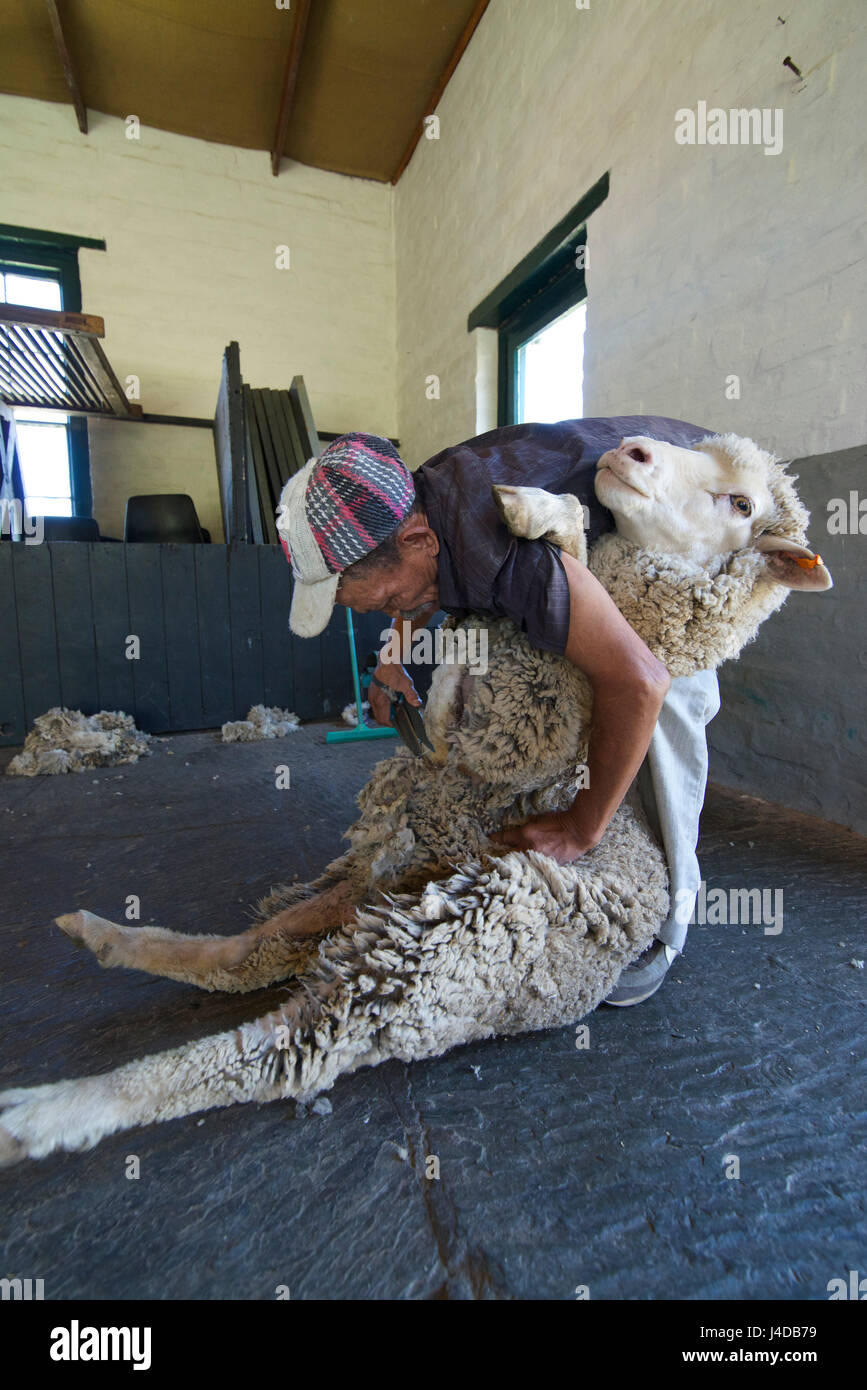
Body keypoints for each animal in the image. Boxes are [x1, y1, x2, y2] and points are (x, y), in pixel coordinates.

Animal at [0, 432, 832, 1165]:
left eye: (740, 502)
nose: (630, 449)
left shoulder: (528, 725)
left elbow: (525, 614)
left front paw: (529, 521)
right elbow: (465, 659)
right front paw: (531, 517)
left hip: (436, 953)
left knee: (271, 1051)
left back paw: (46, 1113)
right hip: (372, 896)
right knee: (249, 953)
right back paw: (105, 938)